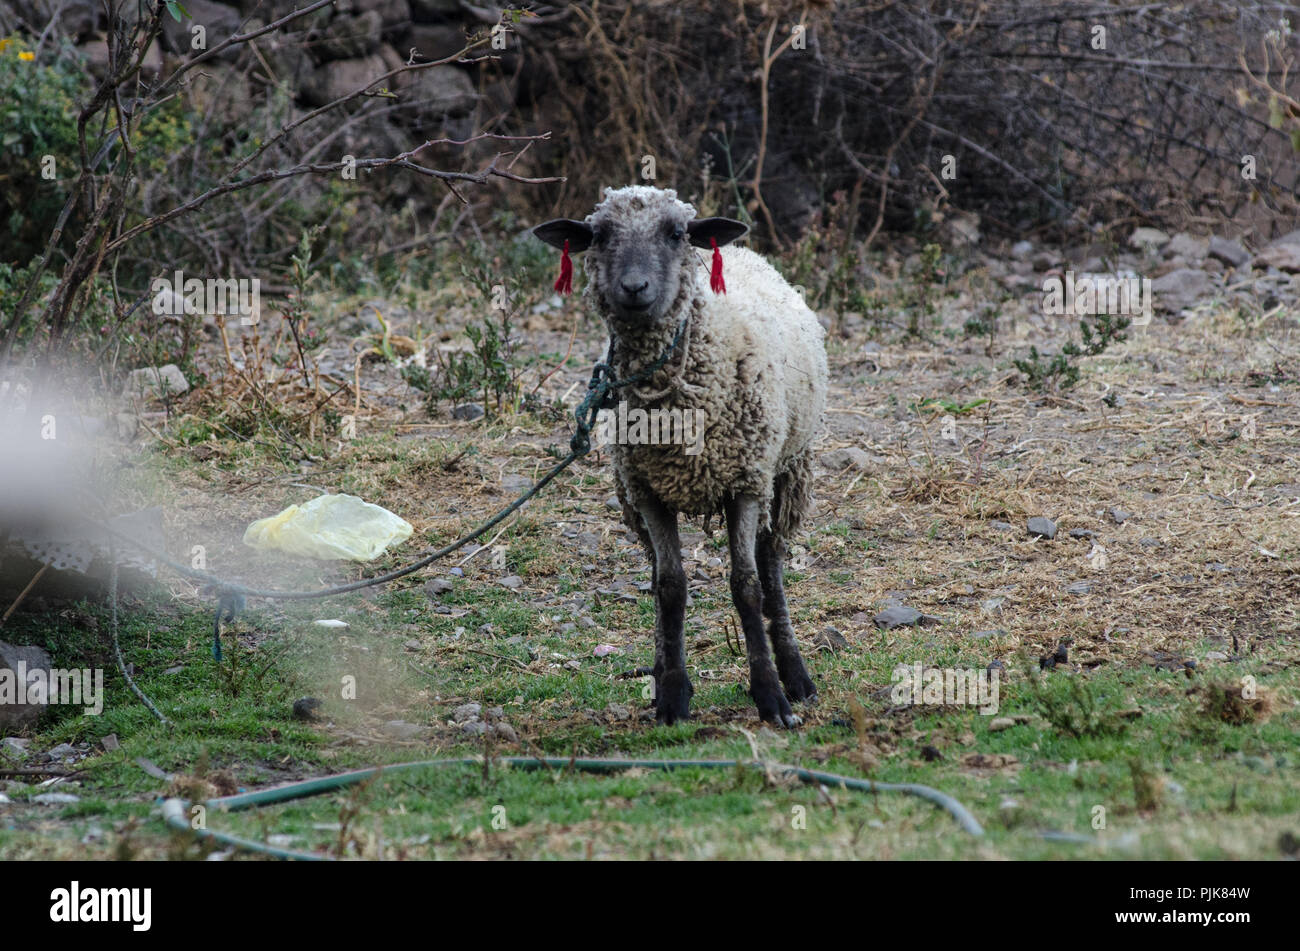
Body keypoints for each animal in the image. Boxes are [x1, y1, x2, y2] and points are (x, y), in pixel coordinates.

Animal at [534, 185, 828, 727]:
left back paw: (796, 675)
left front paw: (770, 694)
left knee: (771, 564)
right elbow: (669, 587)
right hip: (632, 496)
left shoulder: (745, 482)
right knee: (657, 574)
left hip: (788, 469)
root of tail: (739, 251)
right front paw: (672, 694)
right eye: (599, 235)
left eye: (675, 233)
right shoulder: (648, 492)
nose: (634, 287)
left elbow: (746, 586)